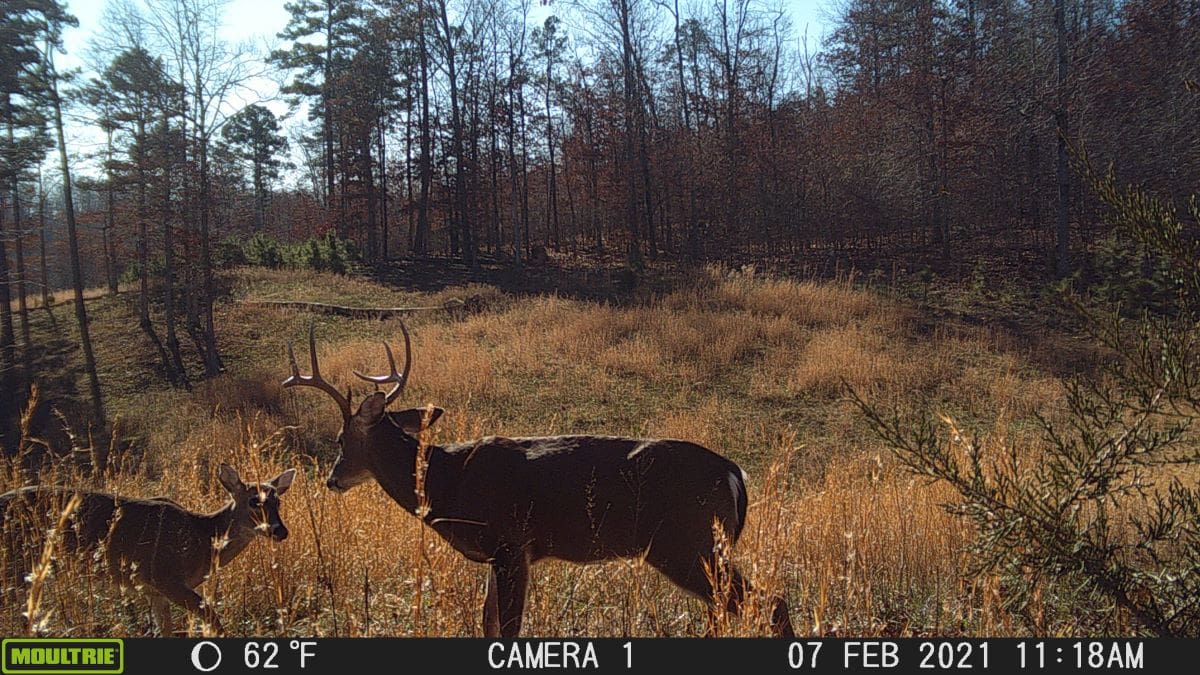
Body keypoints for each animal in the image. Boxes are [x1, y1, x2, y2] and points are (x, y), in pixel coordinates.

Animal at [0, 464, 296, 635]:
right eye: (253, 501)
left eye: (278, 501)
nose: (280, 531)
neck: (201, 541)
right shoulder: (166, 578)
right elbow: (214, 620)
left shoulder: (153, 591)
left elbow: (165, 631)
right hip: (17, 565)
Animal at [284, 321, 794, 638]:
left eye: (341, 438)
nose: (332, 480)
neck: (449, 483)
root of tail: (734, 474)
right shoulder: (503, 554)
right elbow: (488, 624)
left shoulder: (512, 542)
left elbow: (509, 628)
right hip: (700, 545)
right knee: (735, 609)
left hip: (687, 541)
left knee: (768, 603)